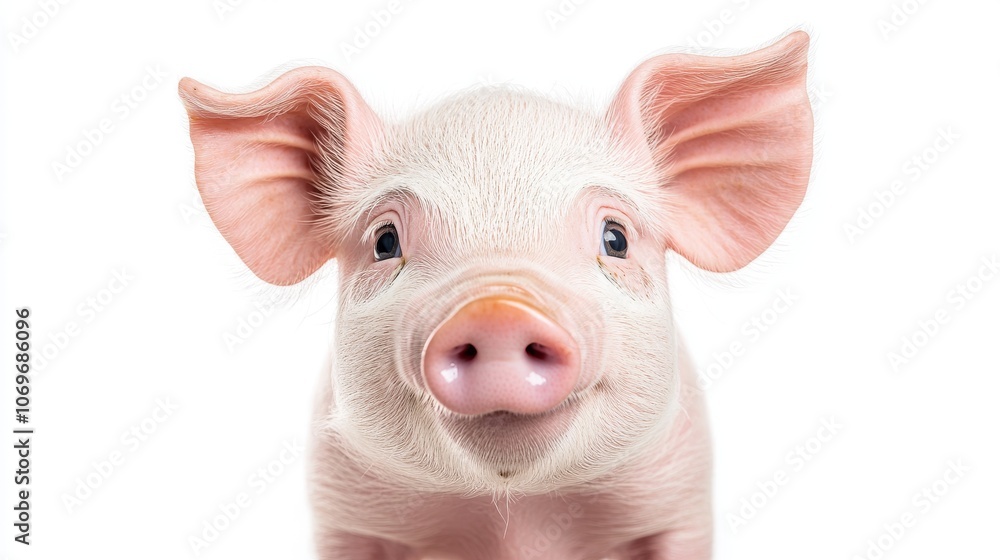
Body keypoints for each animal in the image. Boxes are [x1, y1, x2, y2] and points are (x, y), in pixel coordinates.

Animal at [179, 31, 813, 559]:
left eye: (616, 238)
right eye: (385, 242)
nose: (498, 310)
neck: (513, 517)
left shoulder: (680, 495)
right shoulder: (343, 508)